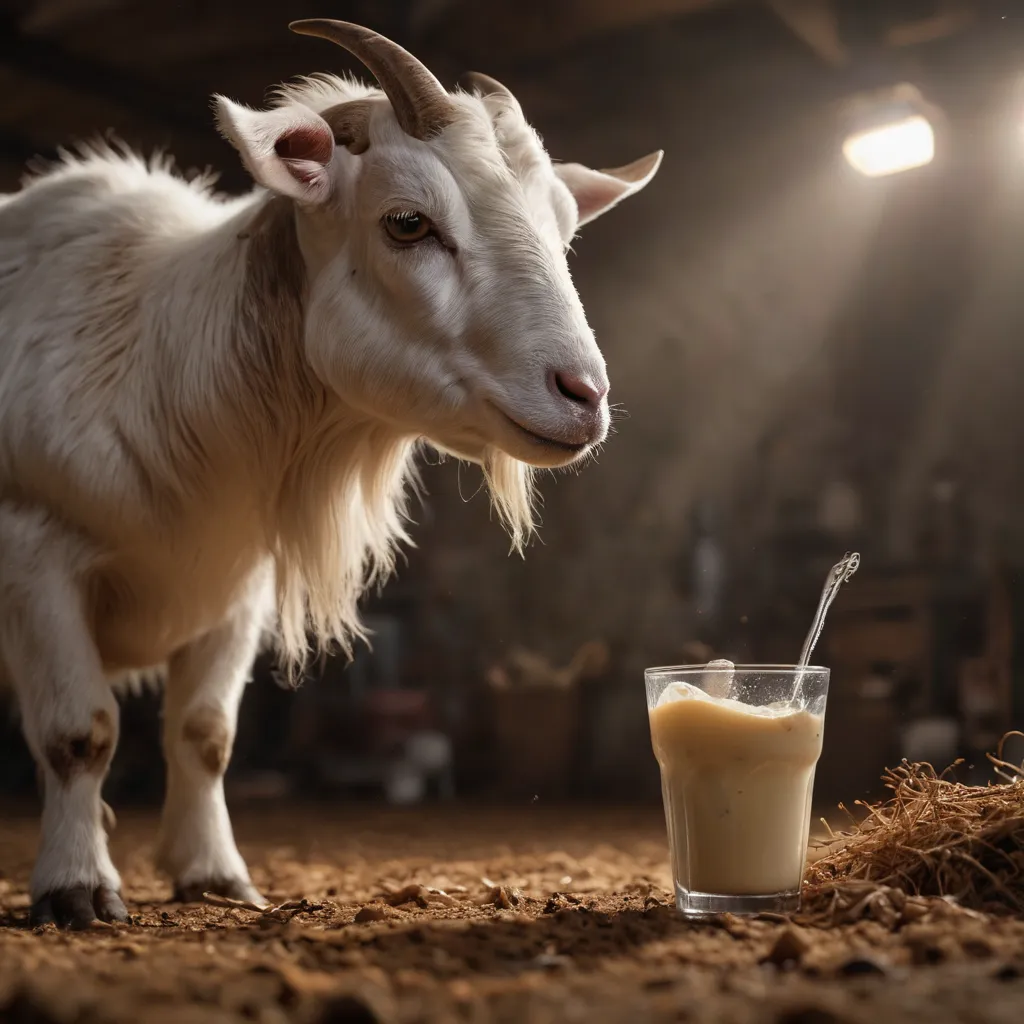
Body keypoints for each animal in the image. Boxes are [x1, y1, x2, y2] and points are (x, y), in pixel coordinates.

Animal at [0, 19, 662, 929]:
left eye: (564, 232)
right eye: (408, 222)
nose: (584, 394)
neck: (157, 360)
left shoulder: (235, 589)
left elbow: (205, 734)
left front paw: (214, 874)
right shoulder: (36, 551)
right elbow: (81, 732)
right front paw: (76, 887)